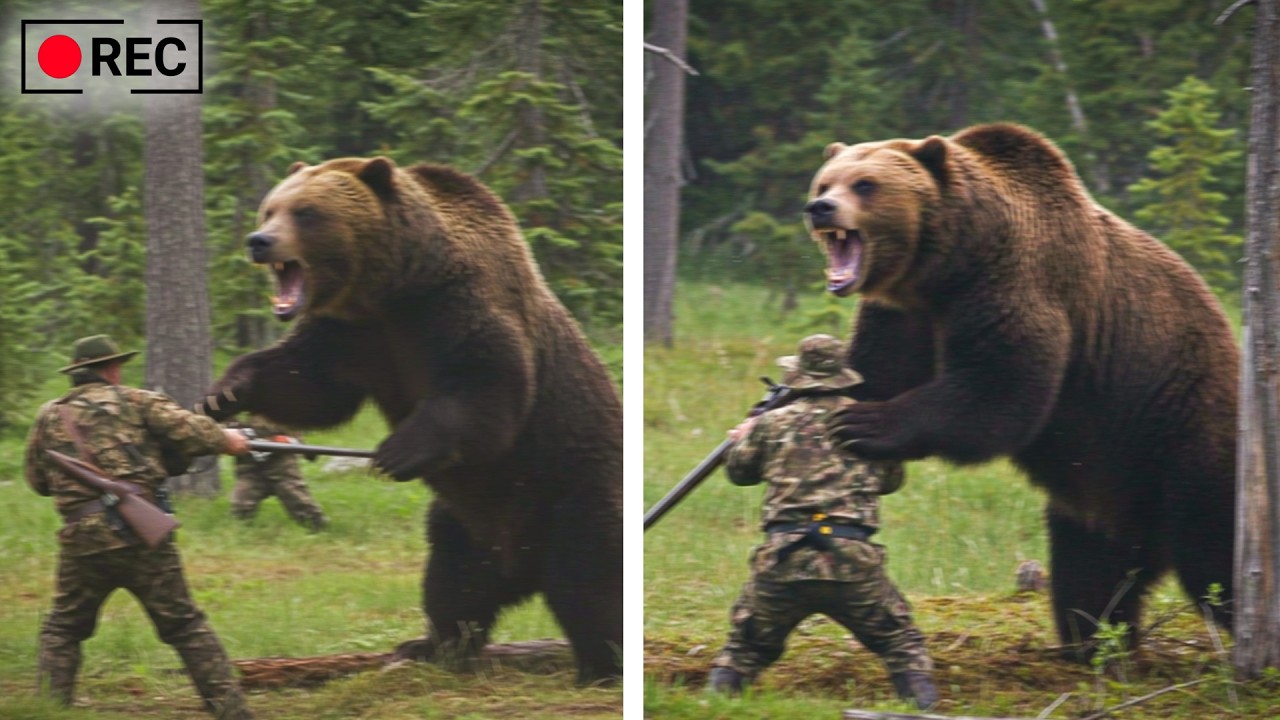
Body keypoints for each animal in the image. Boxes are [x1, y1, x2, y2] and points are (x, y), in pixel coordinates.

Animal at [198, 156, 623, 682]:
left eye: (306, 212)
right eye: (269, 208)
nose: (258, 241)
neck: (391, 290)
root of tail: (520, 566)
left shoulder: (458, 305)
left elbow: (485, 384)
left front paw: (396, 451)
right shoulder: (351, 336)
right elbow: (308, 383)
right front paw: (224, 391)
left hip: (568, 488)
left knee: (586, 578)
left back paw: (602, 663)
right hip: (466, 521)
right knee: (454, 582)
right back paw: (429, 646)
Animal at [804, 123, 1238, 657]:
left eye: (866, 184)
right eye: (825, 181)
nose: (821, 208)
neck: (945, 266)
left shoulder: (1019, 283)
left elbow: (999, 392)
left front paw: (864, 423)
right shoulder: (902, 314)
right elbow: (879, 369)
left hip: (1183, 430)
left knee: (1212, 547)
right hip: (1108, 482)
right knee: (1092, 569)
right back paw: (1097, 643)